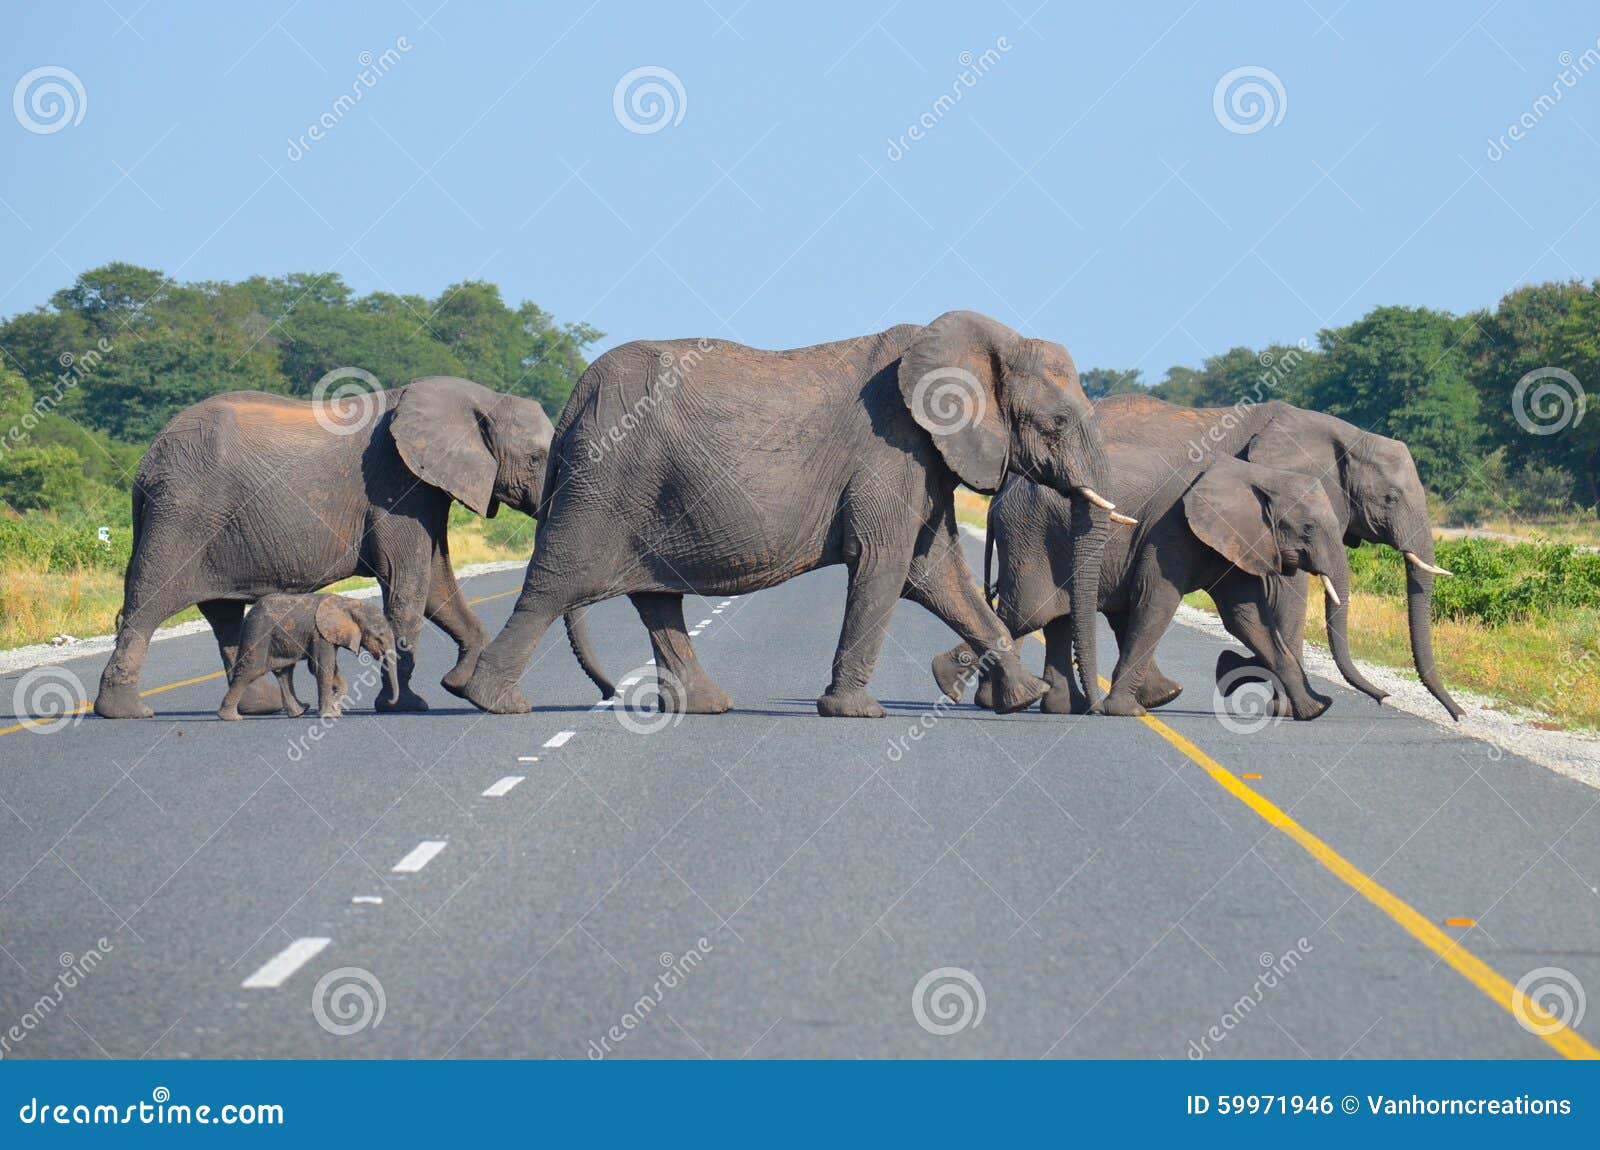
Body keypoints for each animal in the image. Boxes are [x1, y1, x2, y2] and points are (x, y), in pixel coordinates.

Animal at [217, 593, 399, 721]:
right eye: (379, 636)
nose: (390, 701)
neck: (349, 603)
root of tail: (248, 615)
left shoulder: (328, 635)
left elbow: (327, 667)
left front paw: (336, 708)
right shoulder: (319, 634)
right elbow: (323, 667)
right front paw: (329, 714)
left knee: (284, 672)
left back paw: (300, 711)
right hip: (259, 633)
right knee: (251, 670)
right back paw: (231, 717)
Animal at [457, 310, 1124, 718]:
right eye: (1056, 423)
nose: (1095, 709)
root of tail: (574, 398)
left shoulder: (923, 460)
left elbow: (937, 576)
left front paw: (1020, 700)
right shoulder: (894, 450)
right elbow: (886, 566)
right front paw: (856, 713)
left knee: (656, 597)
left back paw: (707, 706)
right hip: (606, 481)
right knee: (555, 585)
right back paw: (490, 701)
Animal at [933, 392, 1462, 720]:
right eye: (1390, 498)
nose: (1456, 715)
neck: (1339, 431)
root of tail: (1001, 493)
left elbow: (1247, 611)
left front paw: (1269, 688)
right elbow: (1286, 596)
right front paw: (1287, 703)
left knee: (1061, 613)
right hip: (1037, 534)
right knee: (1035, 610)